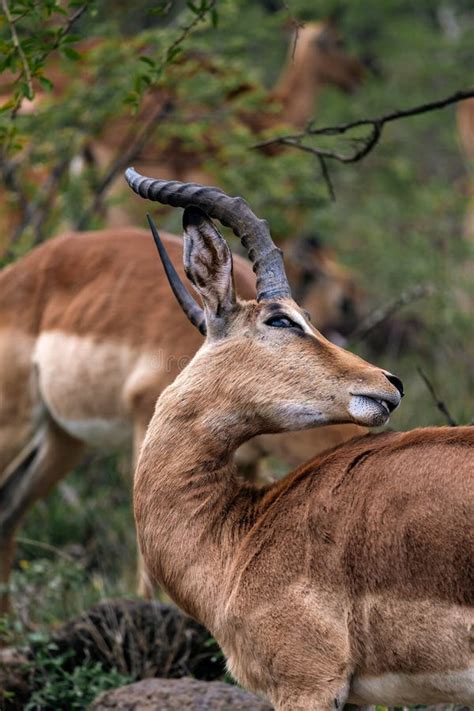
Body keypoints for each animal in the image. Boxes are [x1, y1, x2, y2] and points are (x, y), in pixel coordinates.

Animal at [0, 222, 365, 614]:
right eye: (281, 320)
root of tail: (19, 270)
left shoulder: (247, 463)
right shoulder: (144, 423)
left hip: (64, 440)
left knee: (10, 509)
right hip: (14, 427)